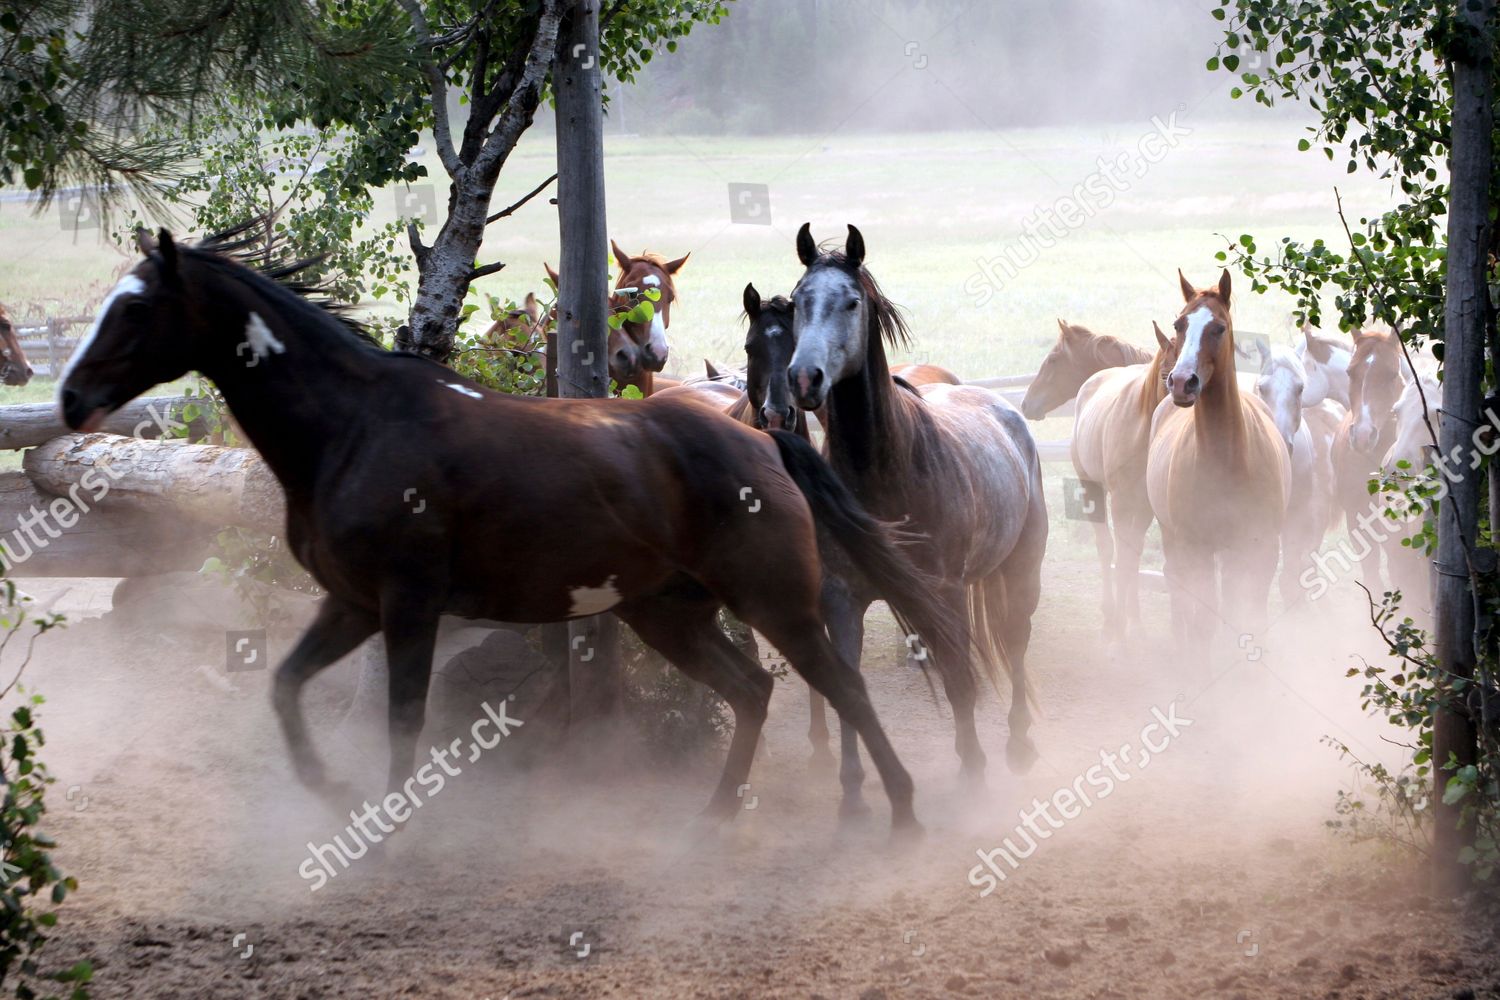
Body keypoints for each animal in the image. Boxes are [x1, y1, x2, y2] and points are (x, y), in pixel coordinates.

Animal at [59, 226, 973, 838]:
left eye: (134, 308)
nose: (70, 397)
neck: (356, 423)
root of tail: (764, 438)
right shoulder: (352, 603)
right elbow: (286, 687)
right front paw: (328, 791)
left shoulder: (409, 604)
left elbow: (404, 719)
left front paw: (389, 830)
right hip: (669, 614)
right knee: (754, 690)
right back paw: (715, 817)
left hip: (773, 599)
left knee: (841, 688)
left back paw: (900, 810)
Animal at [785, 223, 1048, 809]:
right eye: (797, 301)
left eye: (852, 301)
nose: (804, 379)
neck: (887, 468)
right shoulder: (841, 597)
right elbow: (847, 688)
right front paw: (853, 795)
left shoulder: (942, 592)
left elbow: (959, 680)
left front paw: (972, 772)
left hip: (1020, 572)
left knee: (1017, 643)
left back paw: (1020, 746)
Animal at [1068, 322, 1177, 643]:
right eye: (1164, 374)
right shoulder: (1120, 500)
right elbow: (1122, 556)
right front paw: (1118, 626)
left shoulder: (1146, 506)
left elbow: (1133, 557)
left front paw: (1135, 622)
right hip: (1093, 489)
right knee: (1105, 547)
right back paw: (1108, 616)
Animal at [1147, 269, 1289, 661]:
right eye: (1179, 324)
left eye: (1219, 327)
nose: (1182, 382)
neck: (1228, 461)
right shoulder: (1196, 548)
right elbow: (1204, 626)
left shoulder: (1262, 548)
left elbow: (1251, 618)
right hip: (1175, 540)